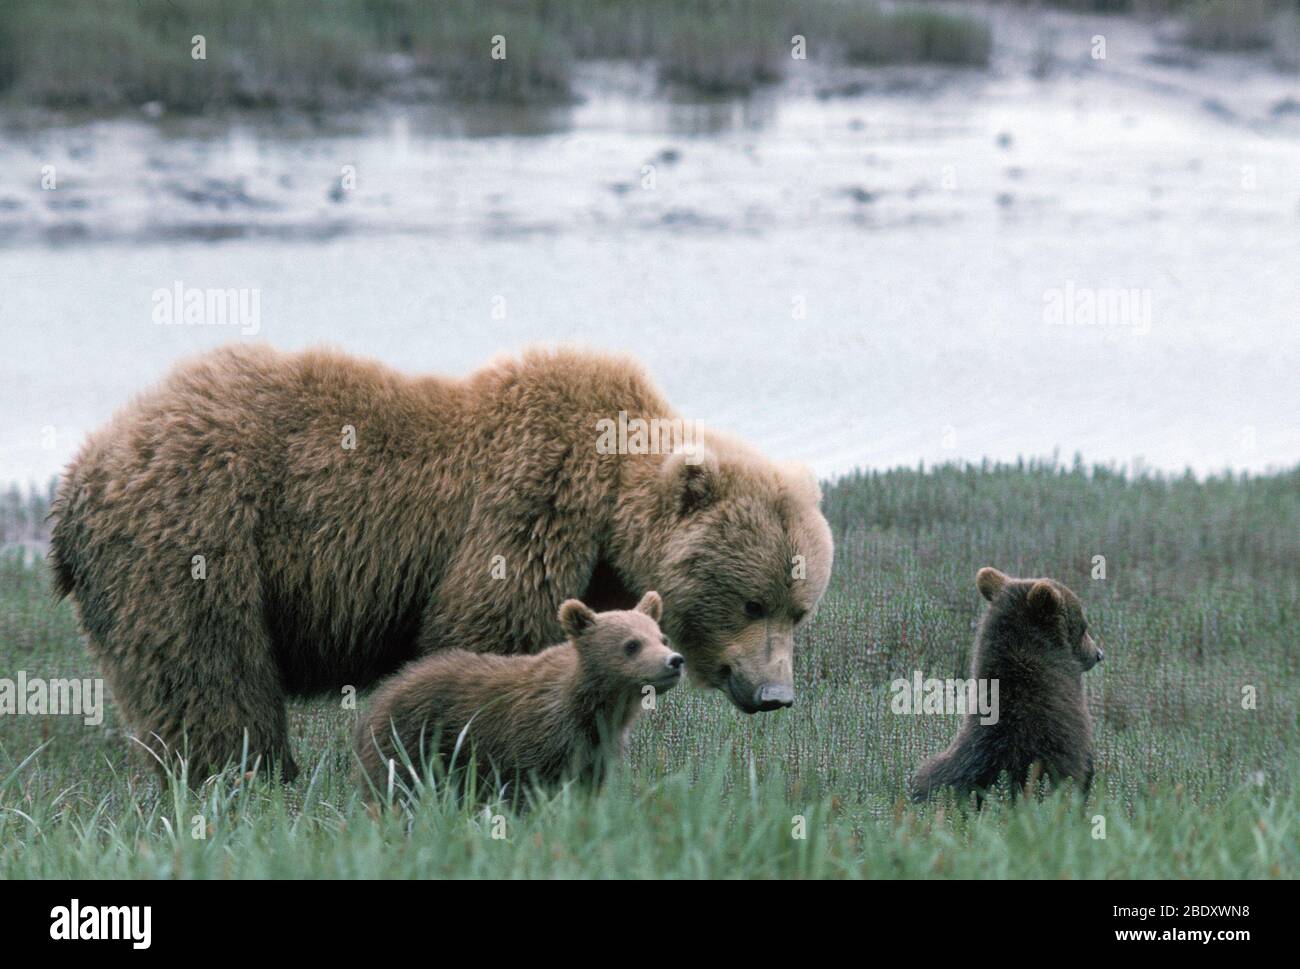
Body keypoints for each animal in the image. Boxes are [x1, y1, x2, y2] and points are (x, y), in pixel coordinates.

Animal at [355, 591, 681, 799]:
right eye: (632, 644)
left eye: (661, 638)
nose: (674, 661)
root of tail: (389, 685)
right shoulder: (530, 741)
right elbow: (522, 791)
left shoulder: (596, 749)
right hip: (411, 740)